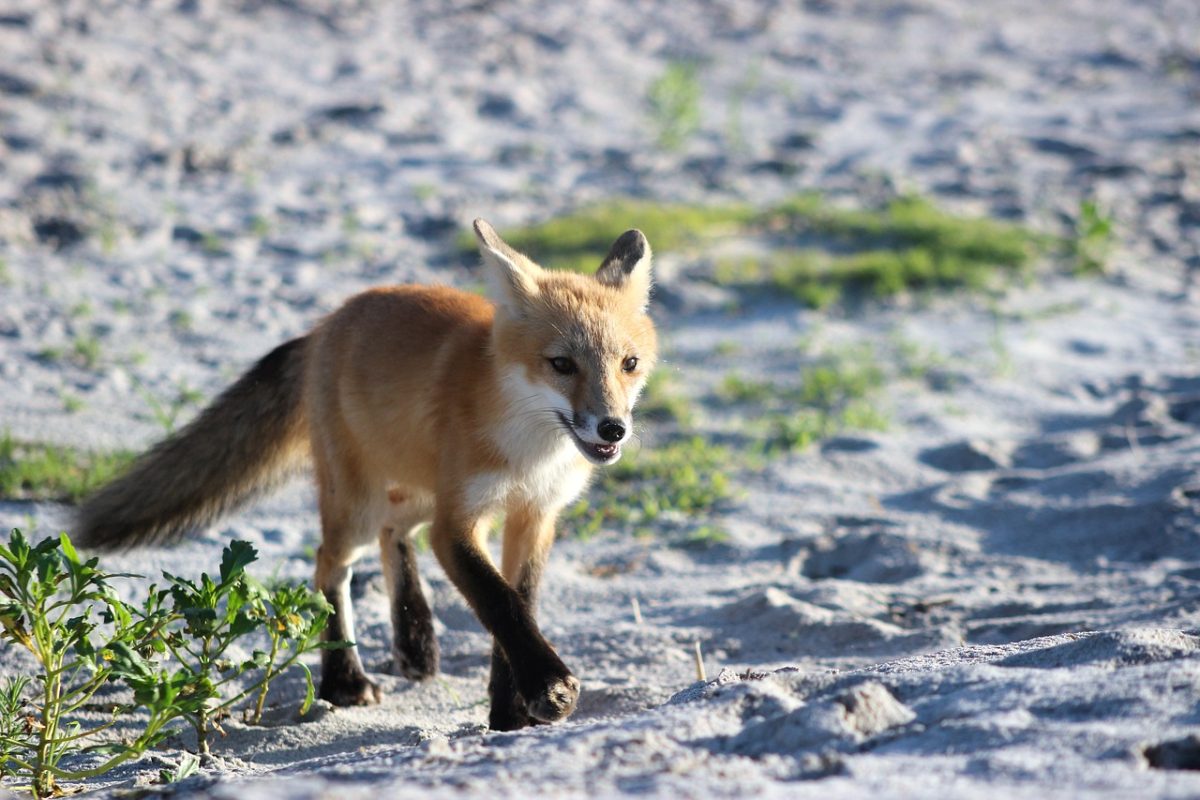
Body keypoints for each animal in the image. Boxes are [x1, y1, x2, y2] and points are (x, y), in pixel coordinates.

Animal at [75, 220, 657, 731]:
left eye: (628, 364)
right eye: (562, 365)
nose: (613, 428)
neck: (530, 452)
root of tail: (323, 326)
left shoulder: (534, 515)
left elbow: (519, 607)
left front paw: (511, 712)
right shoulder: (458, 521)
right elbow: (501, 604)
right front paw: (547, 689)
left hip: (417, 489)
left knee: (393, 533)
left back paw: (415, 640)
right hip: (361, 503)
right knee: (329, 565)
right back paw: (344, 681)